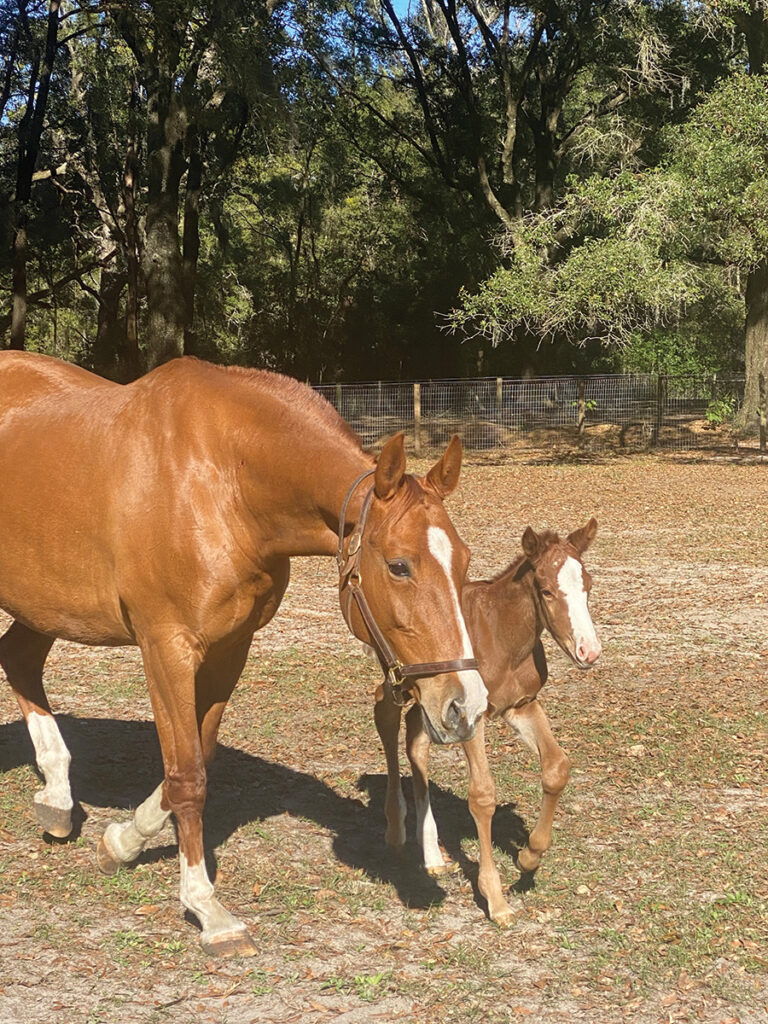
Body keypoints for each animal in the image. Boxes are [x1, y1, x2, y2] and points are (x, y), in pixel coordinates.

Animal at [0, 351, 487, 956]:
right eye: (399, 565)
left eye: (464, 560)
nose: (466, 705)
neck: (222, 481)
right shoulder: (167, 648)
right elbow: (186, 774)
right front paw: (207, 908)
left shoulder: (231, 647)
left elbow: (198, 758)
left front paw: (122, 842)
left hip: (45, 602)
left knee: (19, 660)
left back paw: (58, 797)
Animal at [373, 519, 601, 925]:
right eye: (546, 590)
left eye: (587, 586)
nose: (588, 651)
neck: (503, 637)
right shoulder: (470, 716)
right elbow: (482, 796)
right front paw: (495, 898)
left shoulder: (521, 705)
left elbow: (557, 768)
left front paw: (528, 857)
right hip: (398, 678)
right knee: (384, 715)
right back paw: (397, 830)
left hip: (431, 699)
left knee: (416, 740)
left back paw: (431, 854)